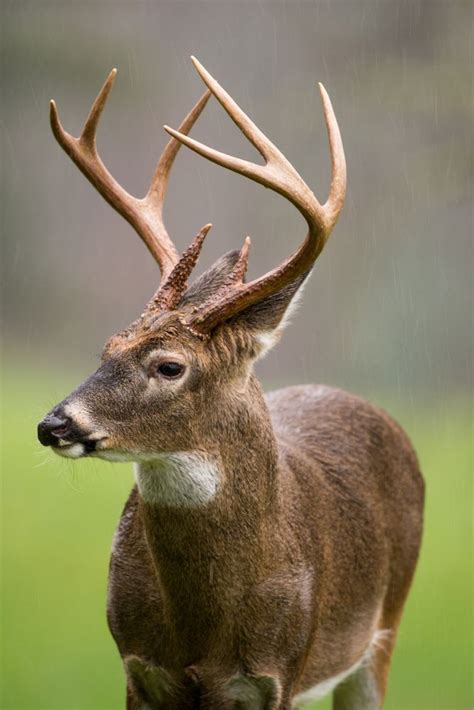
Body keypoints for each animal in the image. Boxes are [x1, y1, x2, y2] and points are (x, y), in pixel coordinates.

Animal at [38, 58, 424, 709]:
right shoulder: (138, 669)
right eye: (107, 347)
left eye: (169, 365)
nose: (54, 424)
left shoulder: (276, 676)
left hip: (384, 629)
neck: (204, 628)